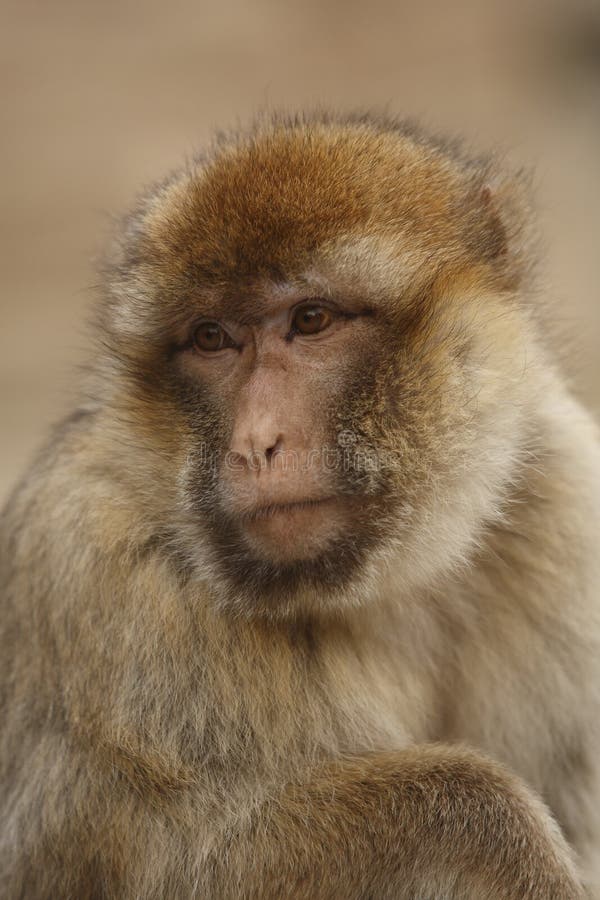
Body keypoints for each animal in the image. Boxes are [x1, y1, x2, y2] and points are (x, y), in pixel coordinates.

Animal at [1, 109, 599, 900]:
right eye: (212, 338)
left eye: (311, 319)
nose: (257, 442)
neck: (389, 583)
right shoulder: (98, 569)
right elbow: (175, 862)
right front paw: (495, 826)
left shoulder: (565, 501)